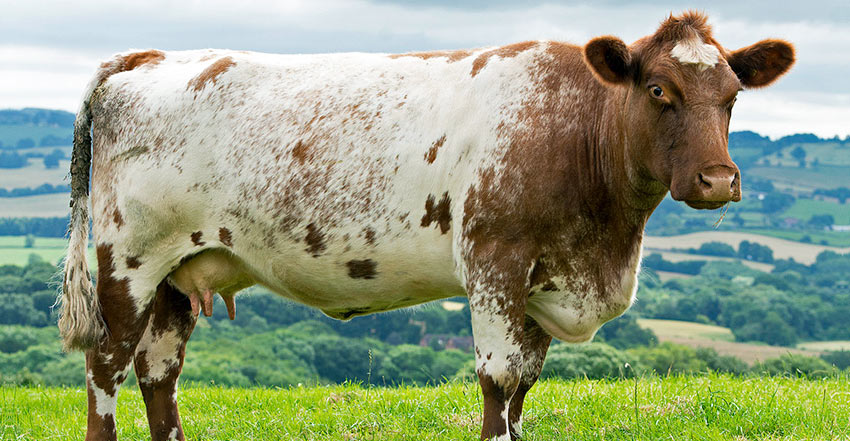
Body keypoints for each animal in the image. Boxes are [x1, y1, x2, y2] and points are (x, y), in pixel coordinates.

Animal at [58, 11, 793, 441]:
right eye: (659, 90)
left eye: (732, 96)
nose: (719, 180)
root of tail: (150, 56)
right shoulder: (496, 262)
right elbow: (499, 379)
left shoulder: (541, 282)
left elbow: (525, 386)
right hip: (128, 259)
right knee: (107, 365)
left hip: (180, 270)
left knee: (158, 370)